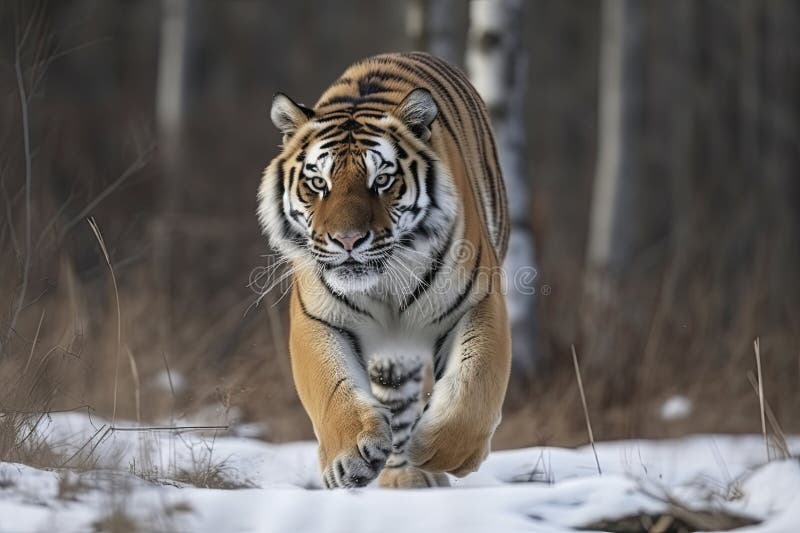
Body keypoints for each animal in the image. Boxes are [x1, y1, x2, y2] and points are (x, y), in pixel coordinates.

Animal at [257, 52, 511, 489]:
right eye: (317, 183)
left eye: (383, 180)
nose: (347, 240)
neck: (384, 284)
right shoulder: (317, 317)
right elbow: (330, 386)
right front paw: (349, 458)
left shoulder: (479, 300)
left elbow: (474, 383)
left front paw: (445, 452)